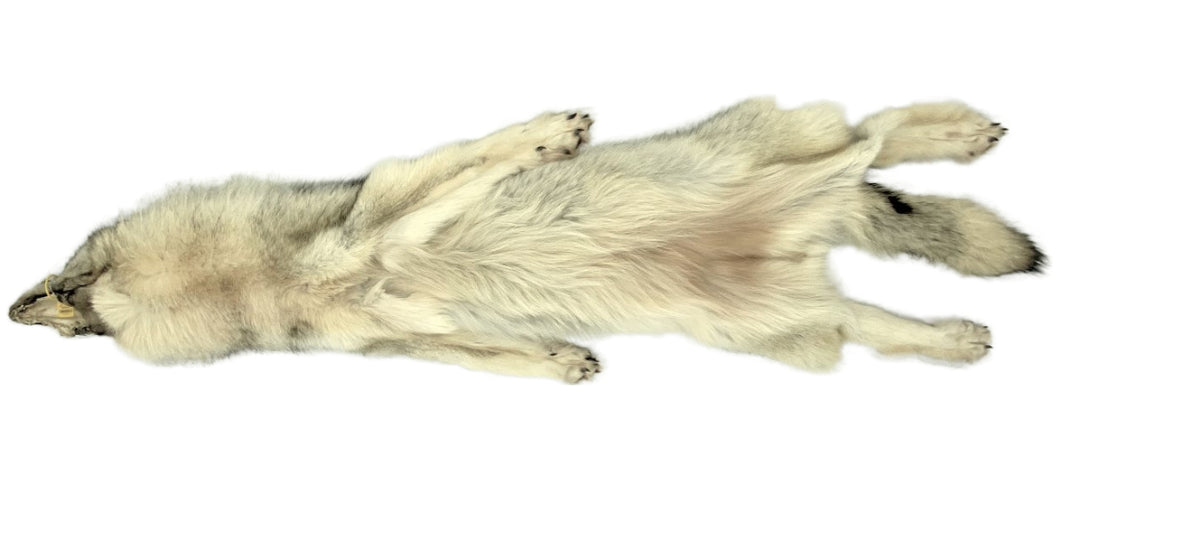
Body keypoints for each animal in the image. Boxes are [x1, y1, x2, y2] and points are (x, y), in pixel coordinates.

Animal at [9, 98, 1042, 383]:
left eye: (79, 297)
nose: (33, 307)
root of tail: (805, 232)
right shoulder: (404, 337)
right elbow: (494, 354)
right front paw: (558, 359)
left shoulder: (387, 215)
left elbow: (485, 155)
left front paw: (550, 136)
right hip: (767, 320)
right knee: (877, 319)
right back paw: (958, 338)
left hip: (782, 163)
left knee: (880, 131)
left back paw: (960, 135)